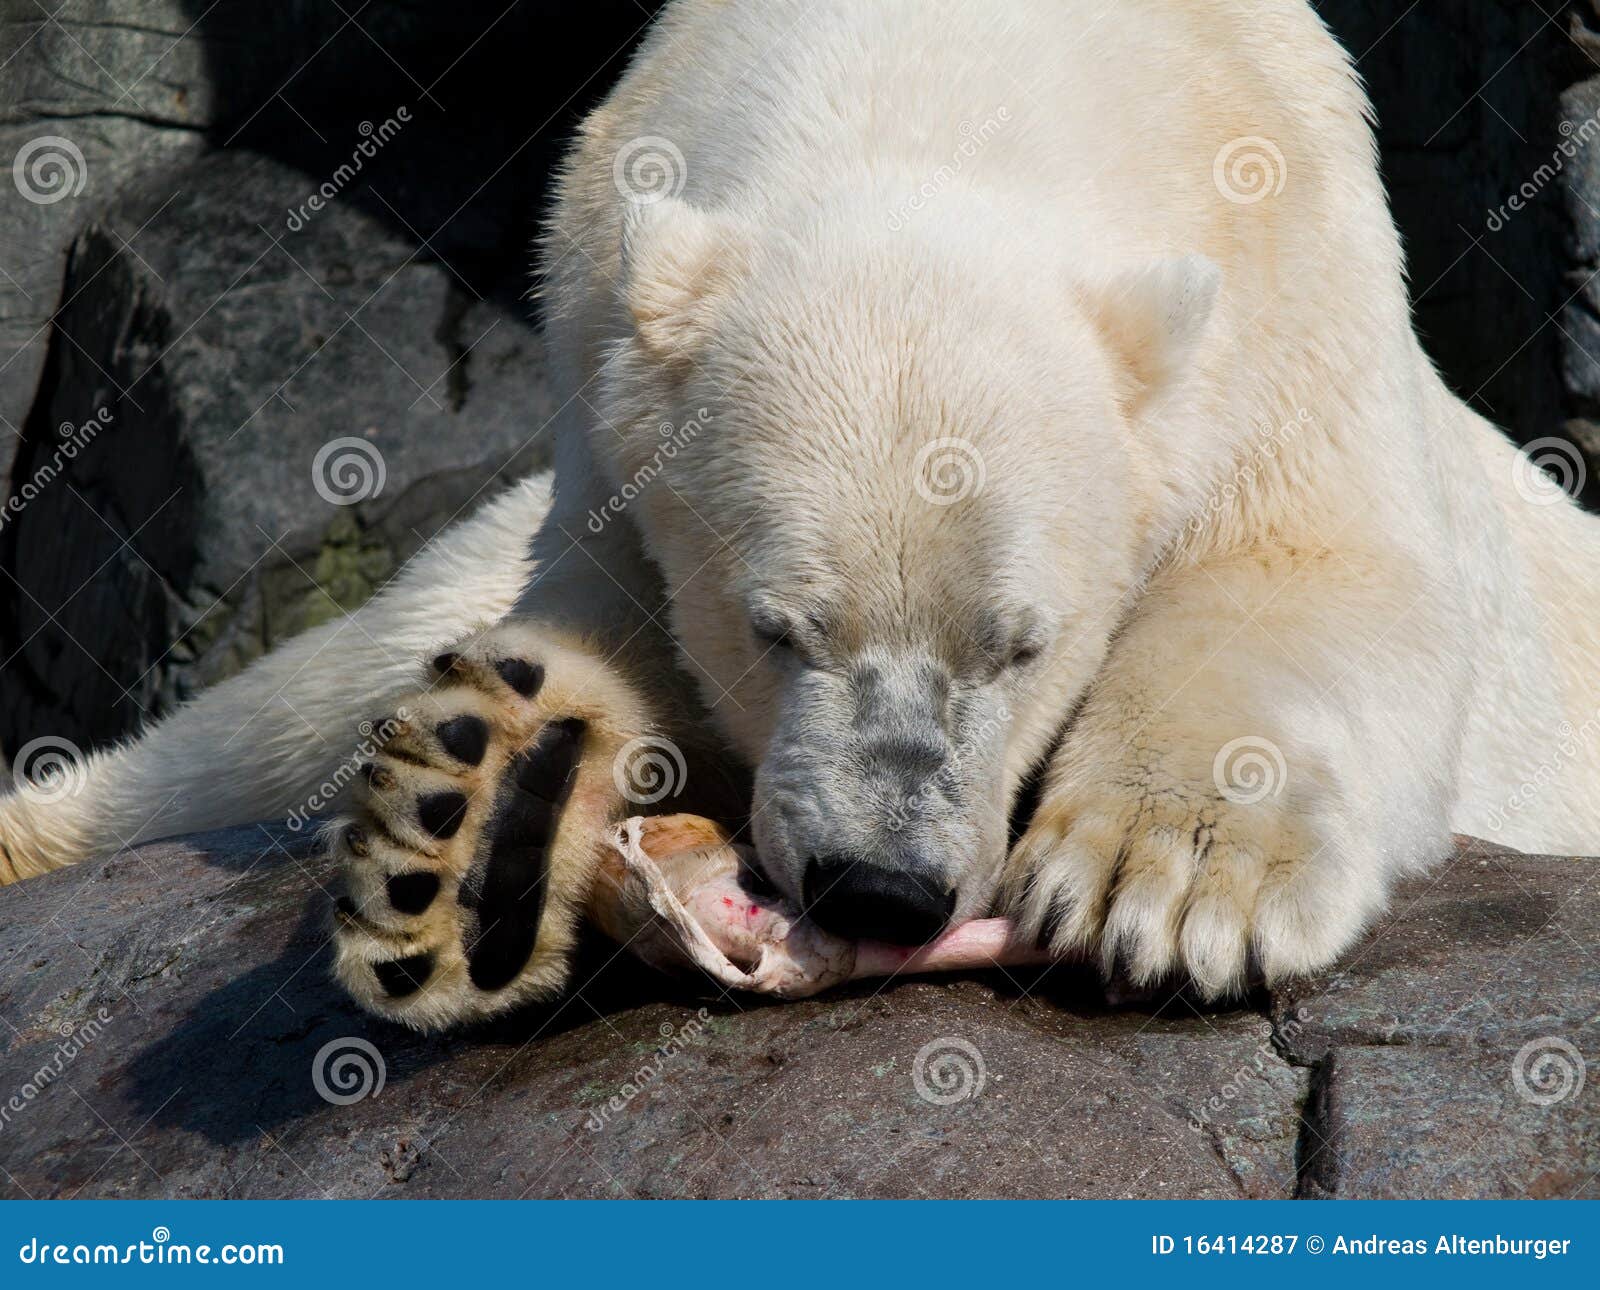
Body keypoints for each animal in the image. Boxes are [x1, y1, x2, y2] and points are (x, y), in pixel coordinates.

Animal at [3, 0, 1599, 1031]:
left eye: (1025, 644)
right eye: (777, 629)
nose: (880, 888)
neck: (948, 77)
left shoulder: (1292, 281)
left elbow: (1323, 581)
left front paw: (1167, 874)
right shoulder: (600, 383)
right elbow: (596, 617)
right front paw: (484, 822)